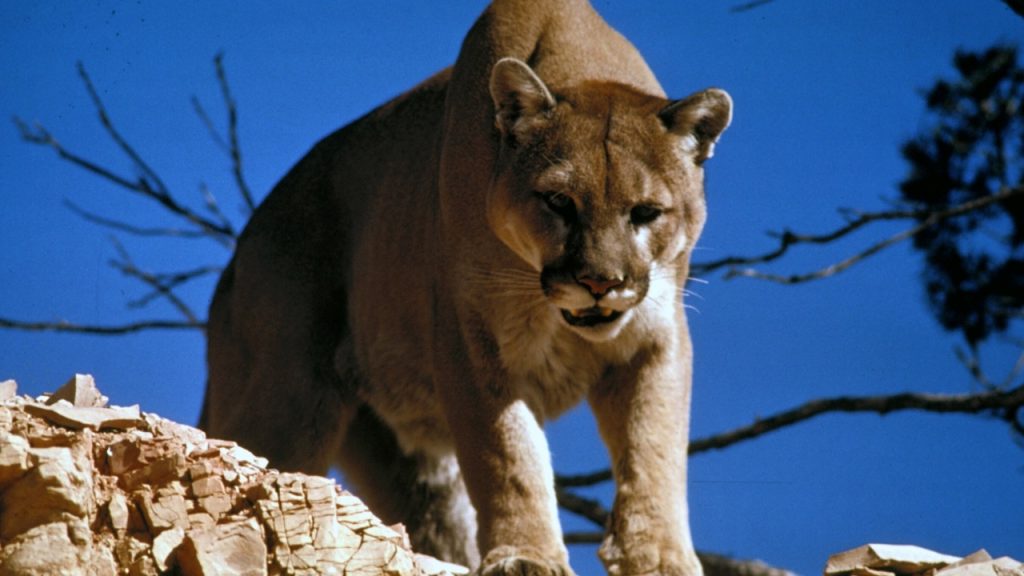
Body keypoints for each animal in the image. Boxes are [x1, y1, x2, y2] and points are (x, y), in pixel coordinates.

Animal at [202, 1, 732, 574]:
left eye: (647, 212)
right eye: (559, 202)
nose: (599, 282)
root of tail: (239, 252)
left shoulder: (656, 337)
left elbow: (654, 449)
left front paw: (659, 557)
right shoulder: (471, 339)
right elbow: (508, 454)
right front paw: (526, 555)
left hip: (405, 460)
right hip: (290, 398)